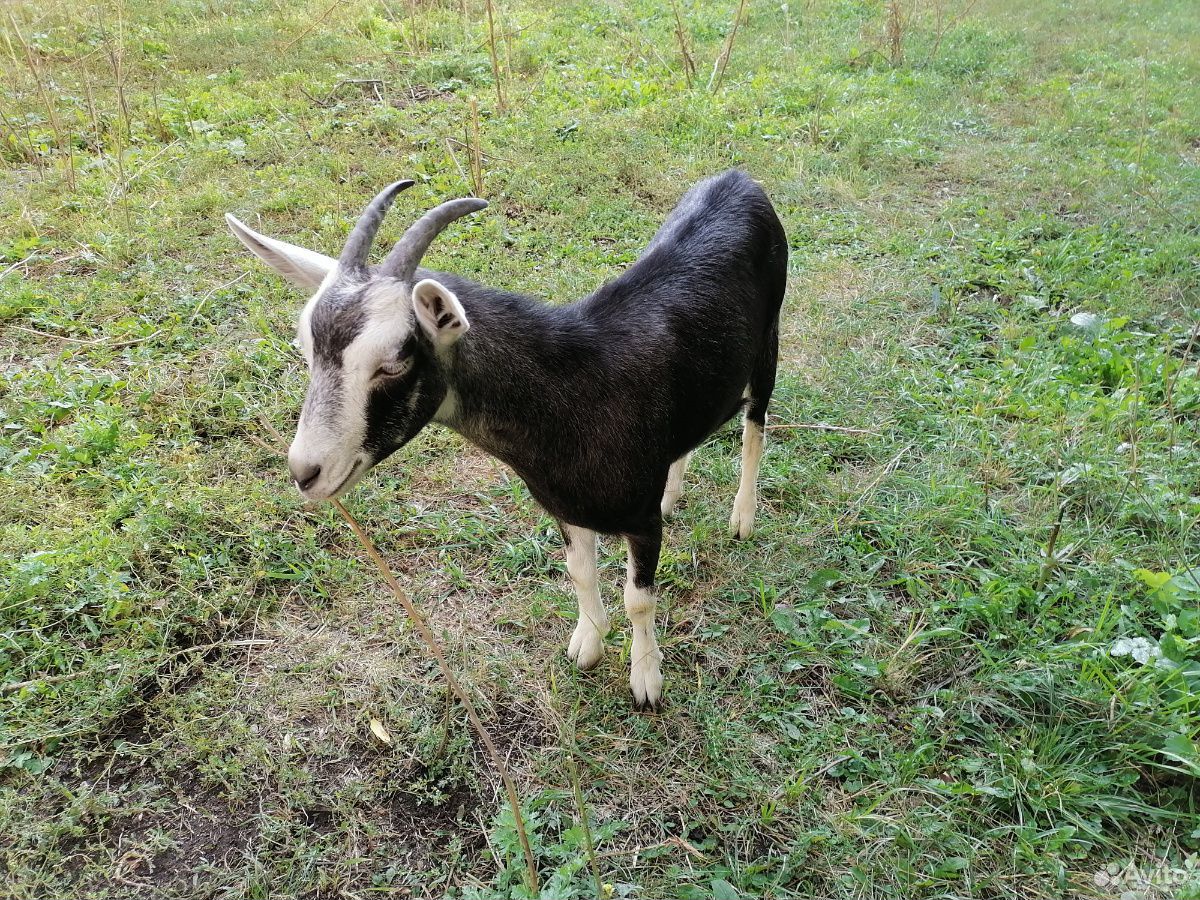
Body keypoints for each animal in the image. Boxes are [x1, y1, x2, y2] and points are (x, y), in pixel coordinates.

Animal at [226, 170, 787, 709]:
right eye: (306, 349)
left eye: (393, 363)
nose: (305, 472)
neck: (578, 387)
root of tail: (740, 180)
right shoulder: (563, 504)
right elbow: (580, 572)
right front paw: (588, 643)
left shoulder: (641, 520)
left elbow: (639, 598)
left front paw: (646, 680)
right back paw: (676, 492)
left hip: (769, 339)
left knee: (755, 423)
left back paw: (742, 516)